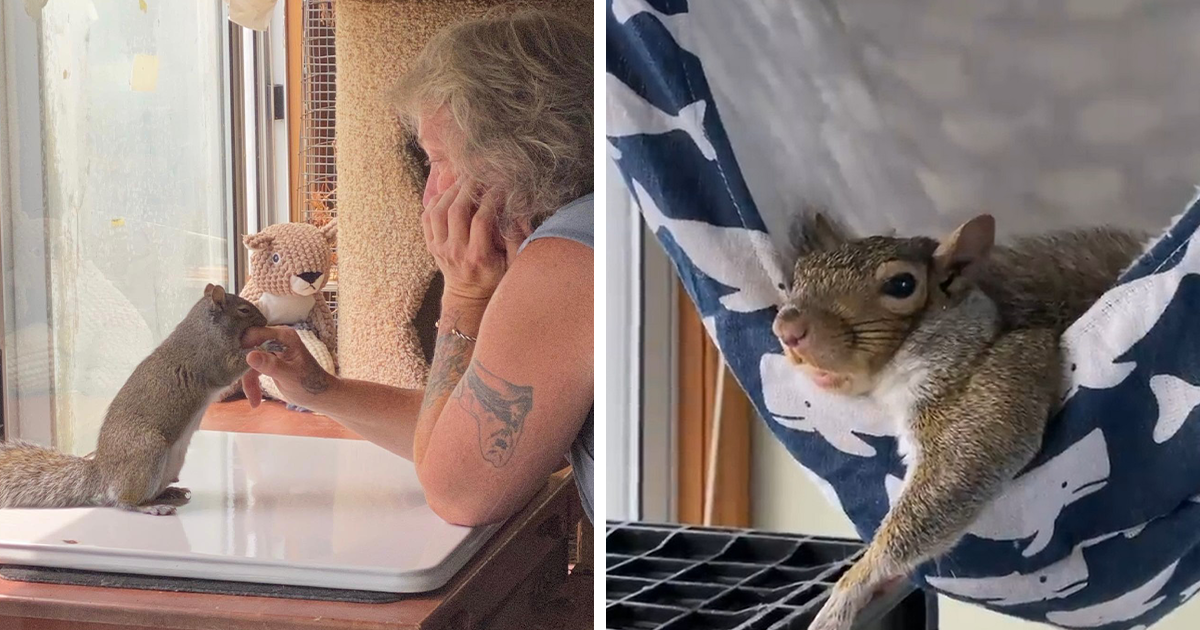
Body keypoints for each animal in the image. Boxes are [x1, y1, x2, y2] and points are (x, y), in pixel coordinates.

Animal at [0, 284, 267, 516]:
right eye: (244, 310)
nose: (265, 322)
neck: (204, 326)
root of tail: (102, 473)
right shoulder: (211, 356)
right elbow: (230, 368)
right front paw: (265, 345)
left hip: (170, 463)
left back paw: (169, 493)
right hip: (147, 453)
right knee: (124, 501)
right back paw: (150, 507)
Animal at [775, 213, 1145, 630]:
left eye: (901, 285)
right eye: (799, 273)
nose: (788, 330)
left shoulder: (997, 387)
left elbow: (955, 475)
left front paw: (847, 592)